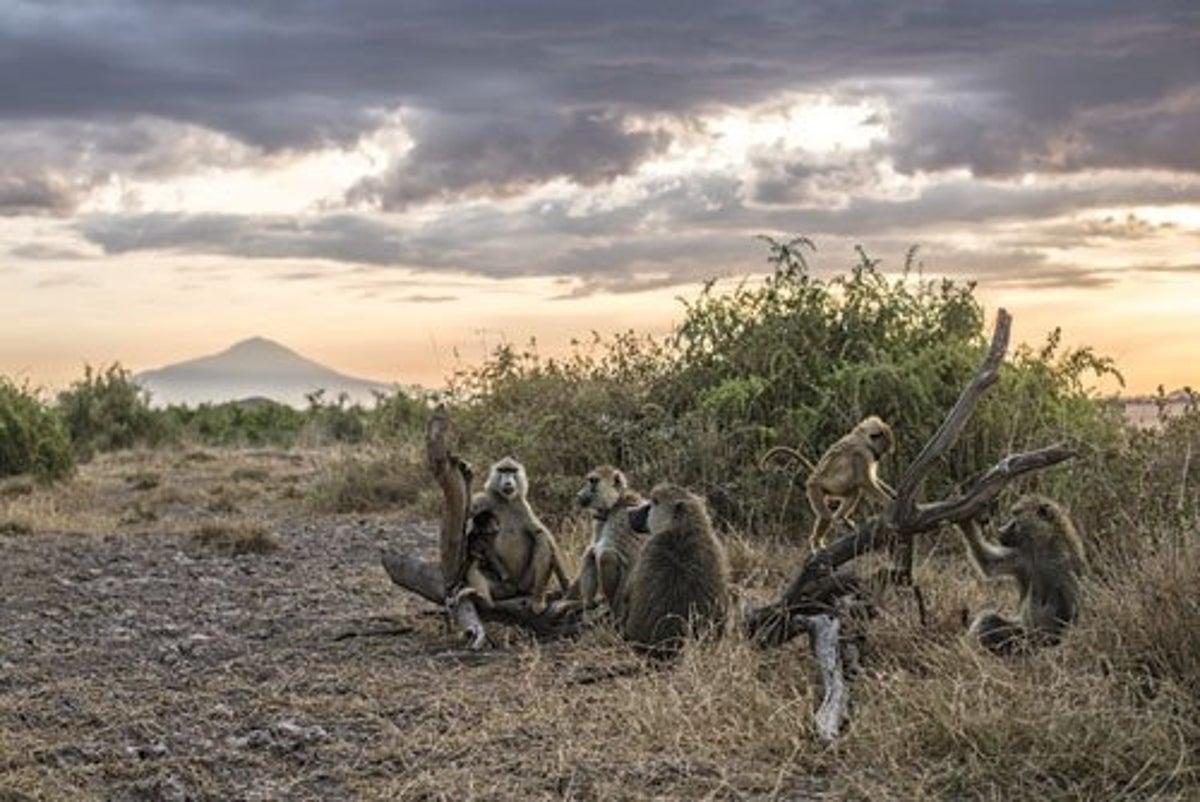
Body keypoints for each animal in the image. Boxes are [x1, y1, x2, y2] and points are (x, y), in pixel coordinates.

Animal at [461, 457, 569, 614]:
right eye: (502, 470)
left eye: (512, 471)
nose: (508, 482)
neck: (506, 501)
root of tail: (515, 589)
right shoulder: (483, 499)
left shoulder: (523, 506)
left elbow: (542, 535)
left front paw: (566, 584)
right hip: (501, 585)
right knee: (474, 565)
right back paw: (484, 600)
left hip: (526, 582)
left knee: (541, 542)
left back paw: (537, 599)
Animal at [554, 465, 648, 620]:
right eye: (589, 480)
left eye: (593, 481)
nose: (579, 494)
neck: (615, 504)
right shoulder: (599, 519)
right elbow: (592, 547)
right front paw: (567, 600)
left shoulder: (624, 518)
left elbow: (629, 555)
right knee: (591, 553)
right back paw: (587, 605)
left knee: (606, 555)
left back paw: (609, 606)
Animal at [771, 415, 895, 549]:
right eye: (883, 449)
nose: (878, 457)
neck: (862, 438)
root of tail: (813, 479)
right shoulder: (861, 454)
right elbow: (864, 481)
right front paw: (888, 502)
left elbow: (872, 479)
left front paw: (894, 494)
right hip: (815, 489)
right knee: (827, 515)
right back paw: (817, 542)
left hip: (831, 491)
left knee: (852, 493)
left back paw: (839, 519)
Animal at [958, 494, 1087, 656]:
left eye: (1016, 516)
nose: (1000, 531)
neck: (1043, 545)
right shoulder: (1022, 556)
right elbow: (988, 564)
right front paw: (964, 520)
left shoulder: (1064, 561)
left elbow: (1070, 602)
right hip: (1019, 633)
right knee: (988, 620)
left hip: (1027, 639)